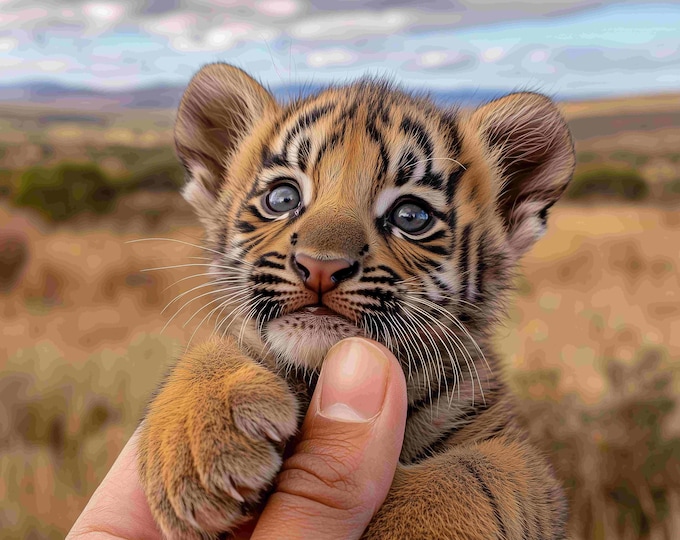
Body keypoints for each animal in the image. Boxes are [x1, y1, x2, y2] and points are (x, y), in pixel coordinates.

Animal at [137, 62, 575, 539]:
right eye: (283, 198)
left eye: (411, 216)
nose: (320, 266)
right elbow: (213, 350)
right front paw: (198, 446)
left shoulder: (519, 457)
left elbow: (471, 473)